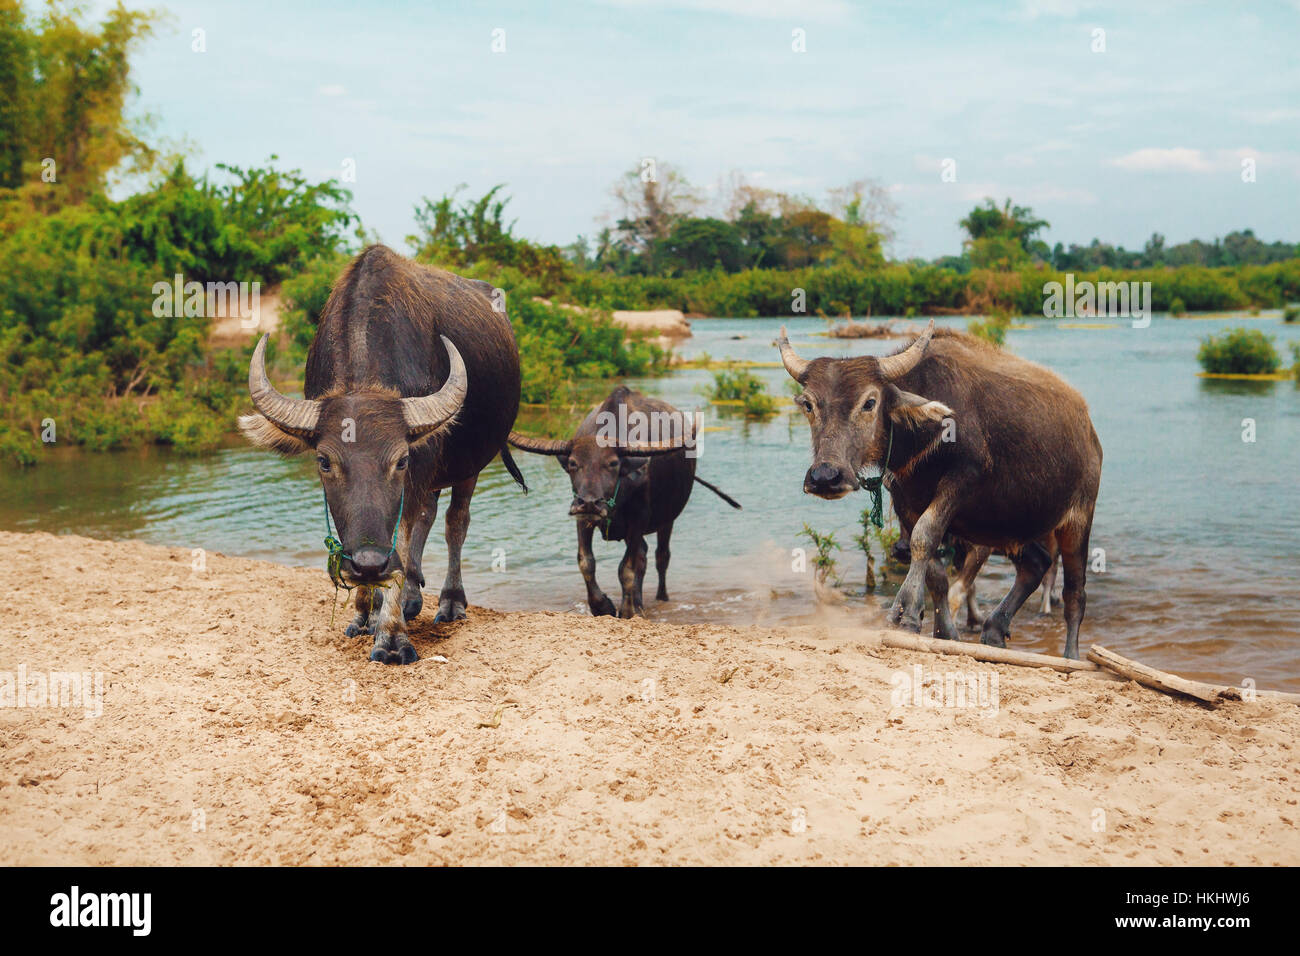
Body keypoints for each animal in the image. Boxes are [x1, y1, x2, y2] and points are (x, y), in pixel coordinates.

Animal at [240, 244, 524, 664]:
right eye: (324, 461)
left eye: (400, 460)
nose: (369, 565)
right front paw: (364, 612)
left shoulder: (420, 466)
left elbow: (403, 540)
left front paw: (391, 636)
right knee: (428, 514)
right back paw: (410, 598)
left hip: (470, 464)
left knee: (455, 522)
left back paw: (449, 602)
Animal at [507, 386, 740, 618]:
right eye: (573, 463)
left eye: (612, 464)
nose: (590, 503)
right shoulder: (582, 519)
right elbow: (586, 562)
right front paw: (602, 606)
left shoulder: (639, 520)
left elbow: (627, 568)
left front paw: (627, 610)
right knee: (643, 555)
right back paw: (639, 602)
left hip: (668, 520)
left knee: (661, 557)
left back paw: (659, 598)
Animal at [778, 320, 1101, 658]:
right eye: (809, 404)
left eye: (869, 402)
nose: (826, 476)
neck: (927, 435)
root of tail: (1089, 430)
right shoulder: (903, 498)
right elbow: (934, 567)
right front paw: (943, 632)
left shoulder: (962, 481)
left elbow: (925, 536)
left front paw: (904, 614)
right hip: (1007, 524)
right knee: (1036, 564)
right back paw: (994, 630)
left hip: (1078, 518)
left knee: (1075, 594)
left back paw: (1071, 656)